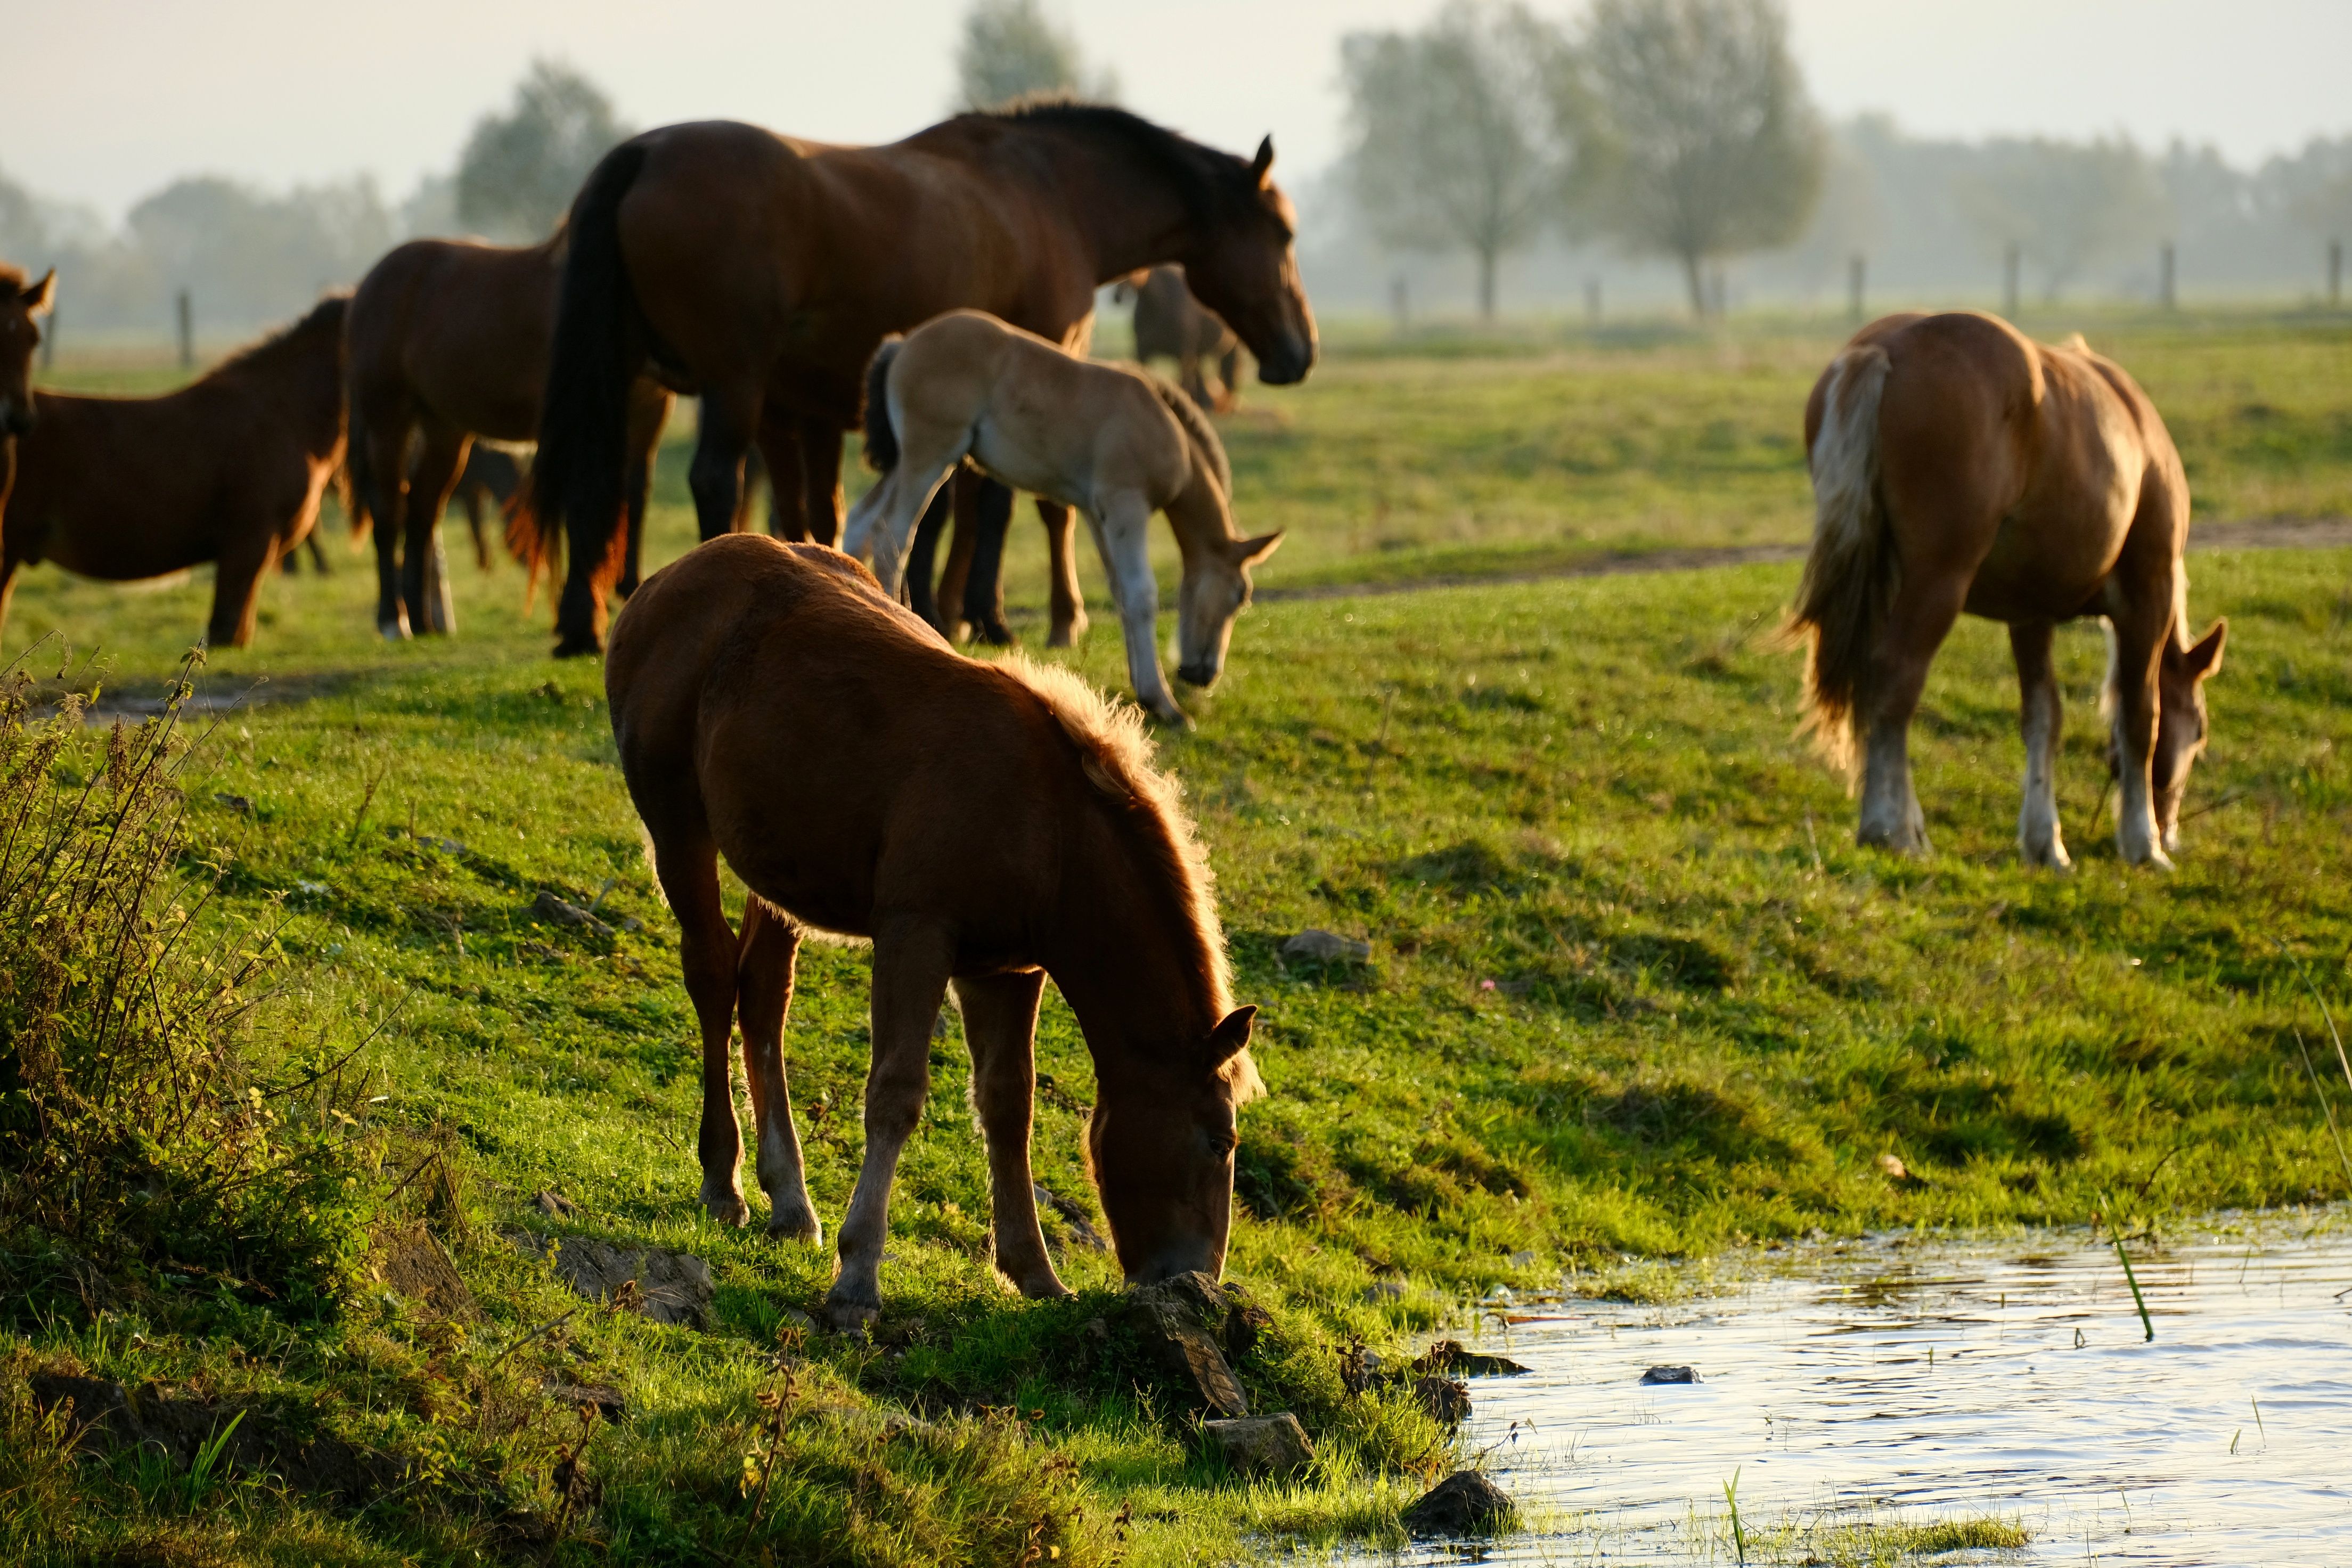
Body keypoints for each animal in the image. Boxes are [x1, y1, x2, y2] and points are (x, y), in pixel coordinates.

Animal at [344, 235, 672, 639]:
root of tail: (368, 284)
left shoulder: (647, 417)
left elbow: (634, 498)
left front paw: (628, 589)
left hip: (443, 429)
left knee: (422, 510)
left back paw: (422, 622)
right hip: (387, 422)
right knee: (389, 510)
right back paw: (393, 618)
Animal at [605, 533, 1263, 1328]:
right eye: (1220, 1140)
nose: (1194, 1280)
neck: (1048, 826)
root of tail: (665, 581)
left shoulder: (1006, 970)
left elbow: (1009, 1106)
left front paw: (1034, 1271)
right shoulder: (915, 937)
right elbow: (895, 1094)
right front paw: (857, 1276)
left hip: (778, 873)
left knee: (761, 996)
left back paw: (790, 1198)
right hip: (678, 827)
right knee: (710, 978)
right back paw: (723, 1180)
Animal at [843, 311, 1280, 728]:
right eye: (1241, 596)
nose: (1202, 675)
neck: (1160, 425)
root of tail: (902, 344)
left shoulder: (1096, 512)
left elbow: (1121, 592)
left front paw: (1144, 694)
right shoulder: (1126, 504)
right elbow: (1141, 594)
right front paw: (1164, 704)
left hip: (905, 462)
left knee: (861, 523)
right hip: (930, 455)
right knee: (893, 536)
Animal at [1122, 265, 1242, 412]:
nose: (1118, 296)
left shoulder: (1184, 354)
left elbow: (1186, 382)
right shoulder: (1142, 350)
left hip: (1231, 350)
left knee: (1229, 373)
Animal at [1785, 312, 2226, 870]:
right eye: (2200, 731)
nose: (2171, 831)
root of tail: (1887, 348)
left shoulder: (2030, 613)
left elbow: (2043, 718)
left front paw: (2046, 842)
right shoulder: (2149, 595)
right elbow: (2140, 717)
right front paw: (2141, 842)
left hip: (1883, 584)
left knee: (1875, 687)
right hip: (1937, 582)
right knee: (1896, 677)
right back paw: (1889, 829)